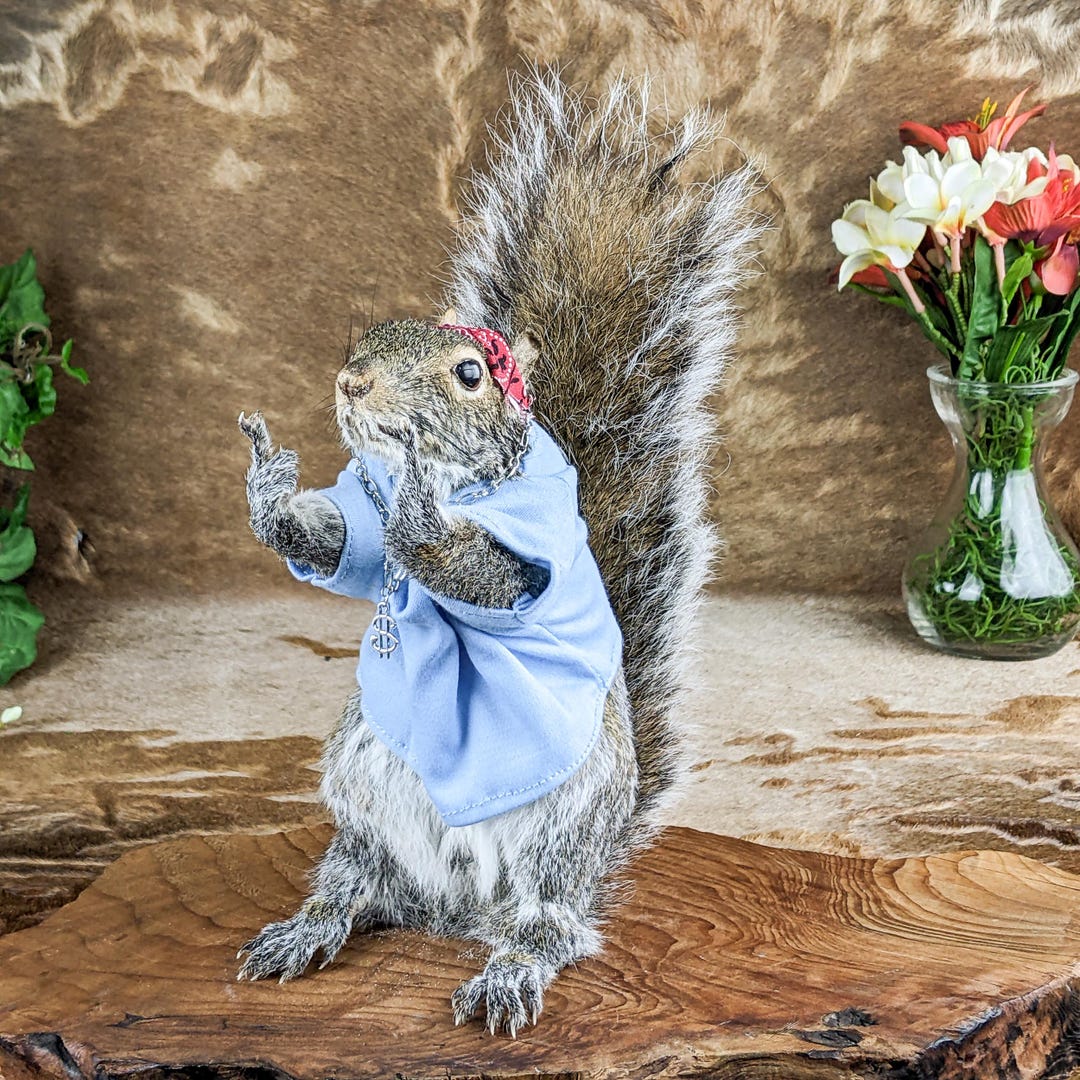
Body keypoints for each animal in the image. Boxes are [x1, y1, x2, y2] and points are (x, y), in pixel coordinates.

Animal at [235, 73, 763, 1035]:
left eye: (470, 374)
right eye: (365, 336)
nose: (352, 382)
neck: (467, 483)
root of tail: (454, 911)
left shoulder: (528, 549)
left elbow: (476, 571)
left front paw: (417, 510)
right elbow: (334, 540)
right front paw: (270, 488)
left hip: (553, 847)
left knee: (545, 929)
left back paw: (507, 973)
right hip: (362, 824)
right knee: (349, 892)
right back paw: (304, 930)